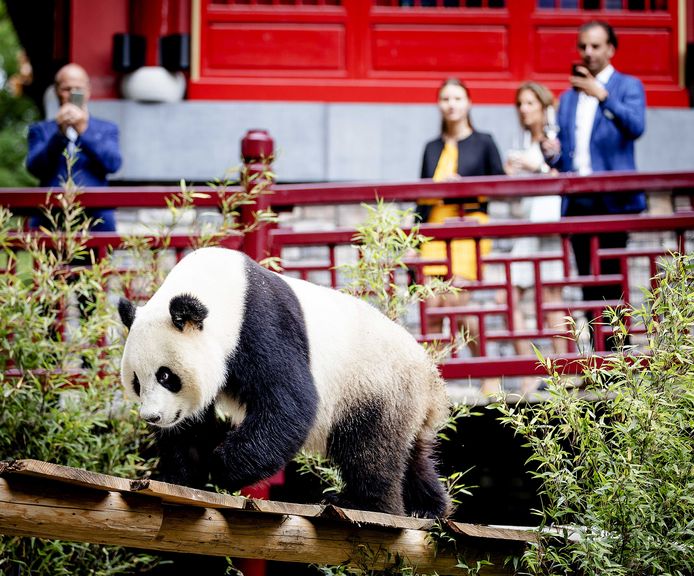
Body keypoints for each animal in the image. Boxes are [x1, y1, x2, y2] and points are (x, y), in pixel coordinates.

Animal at [118, 246, 451, 518]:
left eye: (165, 376)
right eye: (136, 382)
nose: (153, 417)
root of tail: (431, 381)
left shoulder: (259, 325)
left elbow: (290, 403)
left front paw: (222, 467)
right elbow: (190, 427)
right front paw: (181, 477)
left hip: (376, 386)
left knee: (371, 450)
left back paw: (366, 504)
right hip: (402, 400)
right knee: (413, 454)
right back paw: (427, 508)